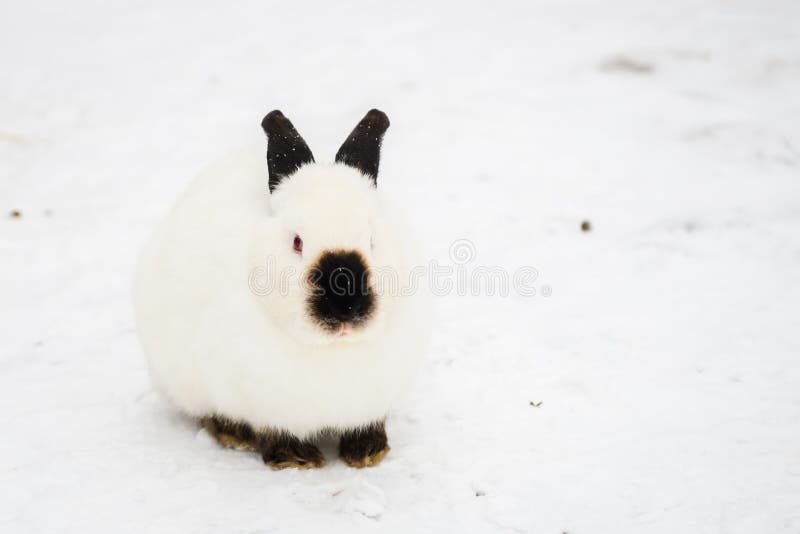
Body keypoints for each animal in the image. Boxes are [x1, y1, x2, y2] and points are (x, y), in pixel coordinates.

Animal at [134, 109, 431, 469]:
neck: (333, 350)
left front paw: (367, 452)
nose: (345, 306)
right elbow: (272, 431)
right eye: (297, 242)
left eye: (372, 240)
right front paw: (297, 459)